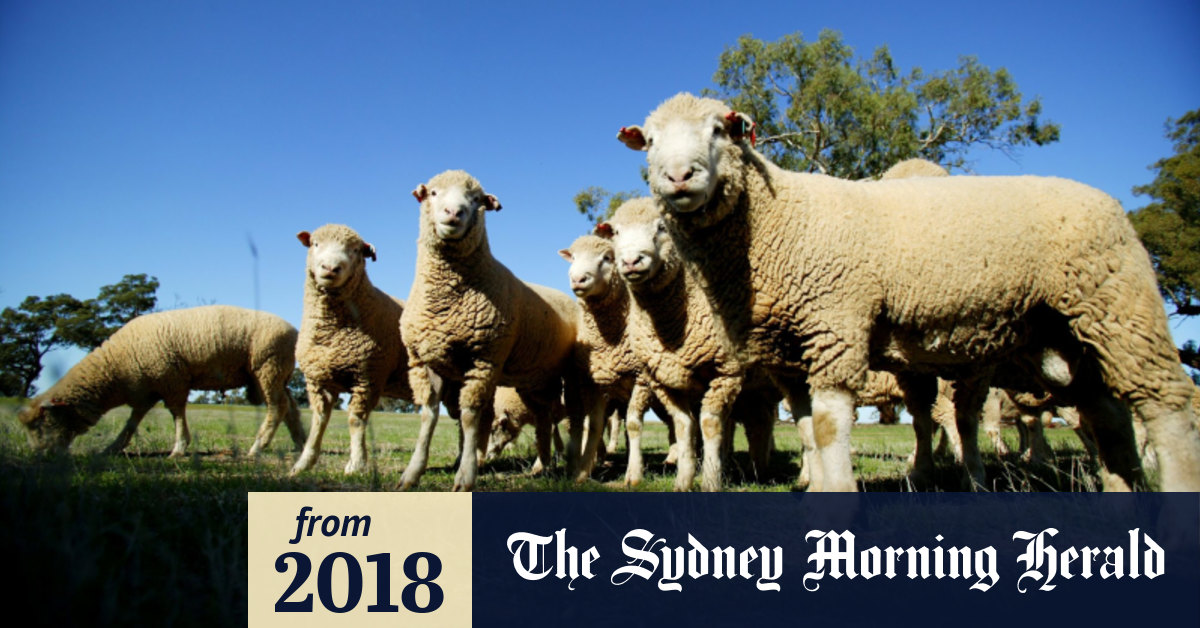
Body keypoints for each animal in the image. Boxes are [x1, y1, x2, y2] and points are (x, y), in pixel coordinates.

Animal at [18, 305, 305, 457]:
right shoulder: (146, 391)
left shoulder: (171, 380)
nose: (38, 455)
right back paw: (300, 443)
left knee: (277, 408)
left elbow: (176, 414)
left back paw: (257, 447)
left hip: (267, 368)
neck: (115, 369)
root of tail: (294, 331)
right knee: (290, 407)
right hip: (273, 374)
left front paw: (178, 448)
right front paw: (113, 448)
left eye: (42, 424)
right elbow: (132, 422)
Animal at [291, 224, 449, 476]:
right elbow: (318, 420)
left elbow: (356, 420)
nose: (331, 268)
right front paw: (303, 463)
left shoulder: (368, 376)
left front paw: (356, 463)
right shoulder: (318, 380)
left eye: (355, 250)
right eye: (315, 243)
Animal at [400, 169, 582, 491]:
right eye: (433, 193)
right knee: (544, 417)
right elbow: (427, 416)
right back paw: (542, 465)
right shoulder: (424, 362)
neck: (445, 299)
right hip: (533, 379)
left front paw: (465, 475)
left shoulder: (484, 360)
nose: (454, 212)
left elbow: (472, 418)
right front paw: (411, 474)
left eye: (476, 200)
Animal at [618, 92, 1200, 492]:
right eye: (650, 142)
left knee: (1165, 405)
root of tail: (1106, 201)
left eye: (721, 129)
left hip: (1121, 306)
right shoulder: (792, 355)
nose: (678, 176)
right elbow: (805, 428)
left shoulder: (837, 324)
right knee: (1108, 414)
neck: (779, 222)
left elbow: (827, 427)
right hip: (1073, 333)